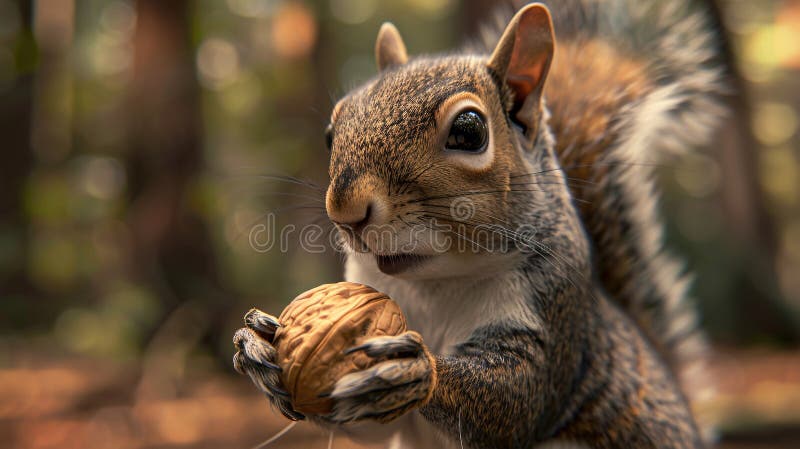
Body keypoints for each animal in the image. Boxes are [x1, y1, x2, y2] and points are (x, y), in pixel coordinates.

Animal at [233, 1, 728, 448]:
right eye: (330, 133)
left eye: (469, 131)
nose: (345, 210)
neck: (434, 285)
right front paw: (259, 346)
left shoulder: (553, 317)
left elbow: (514, 403)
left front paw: (415, 370)